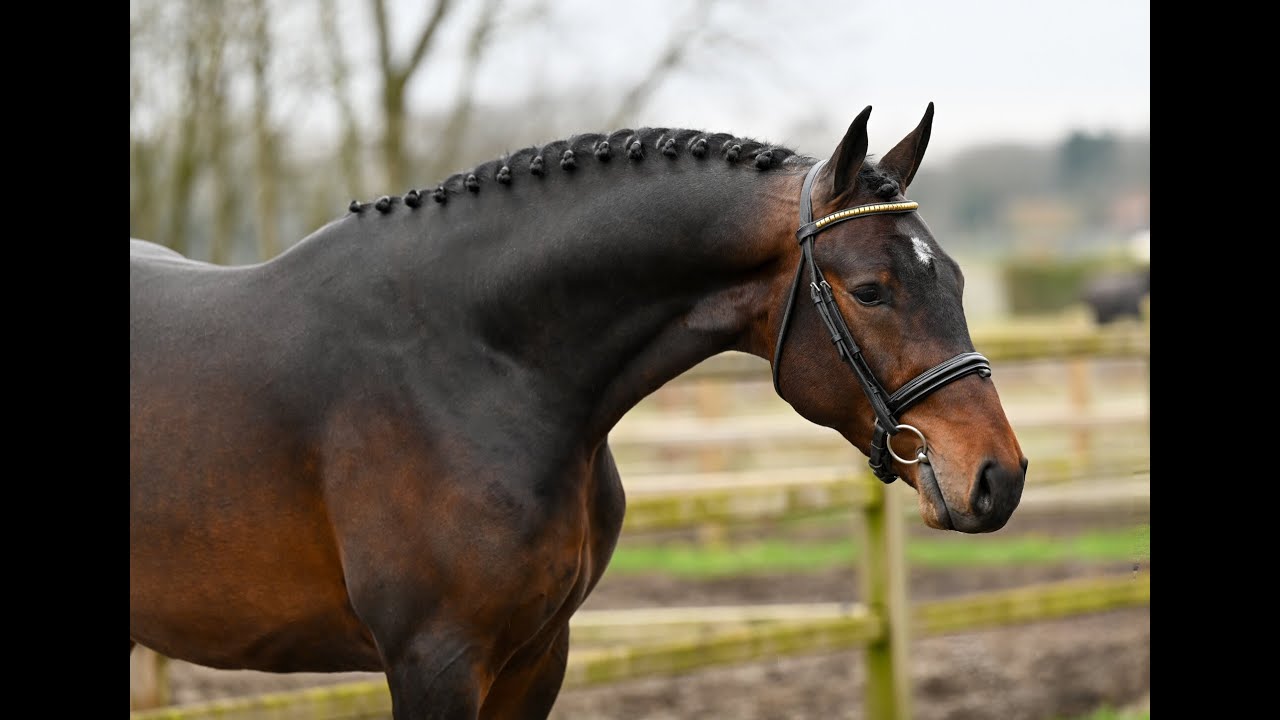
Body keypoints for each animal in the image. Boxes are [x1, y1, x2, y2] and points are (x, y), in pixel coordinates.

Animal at [130, 104, 1027, 719]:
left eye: (954, 276)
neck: (476, 363)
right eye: (871, 290)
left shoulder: (536, 655)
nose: (999, 477)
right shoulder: (433, 661)